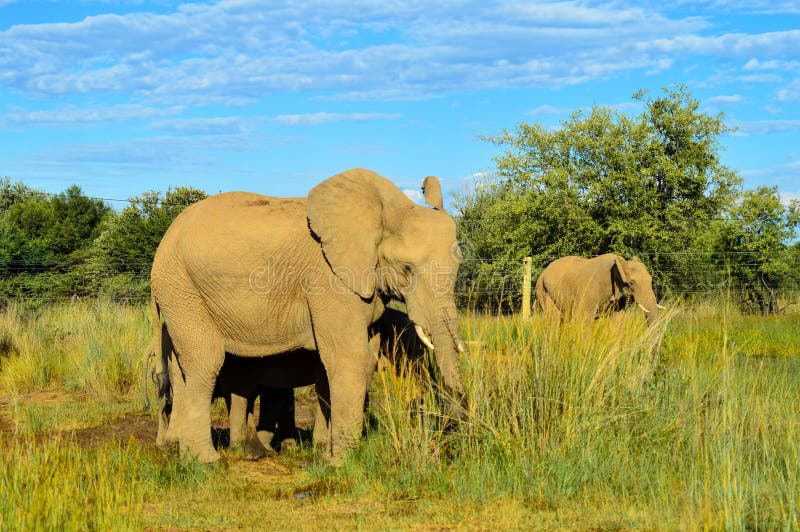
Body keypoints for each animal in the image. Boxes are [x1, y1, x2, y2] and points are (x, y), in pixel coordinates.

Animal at [148, 168, 467, 463]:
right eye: (407, 268)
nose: (454, 426)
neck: (387, 211)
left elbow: (361, 357)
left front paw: (326, 454)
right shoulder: (329, 278)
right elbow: (347, 357)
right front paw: (340, 462)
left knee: (184, 369)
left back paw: (181, 450)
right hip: (181, 287)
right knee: (206, 361)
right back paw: (206, 461)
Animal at [535, 253, 664, 326]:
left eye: (651, 280)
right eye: (632, 283)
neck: (620, 263)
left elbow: (617, 320)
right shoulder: (588, 289)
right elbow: (583, 319)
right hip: (543, 290)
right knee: (554, 320)